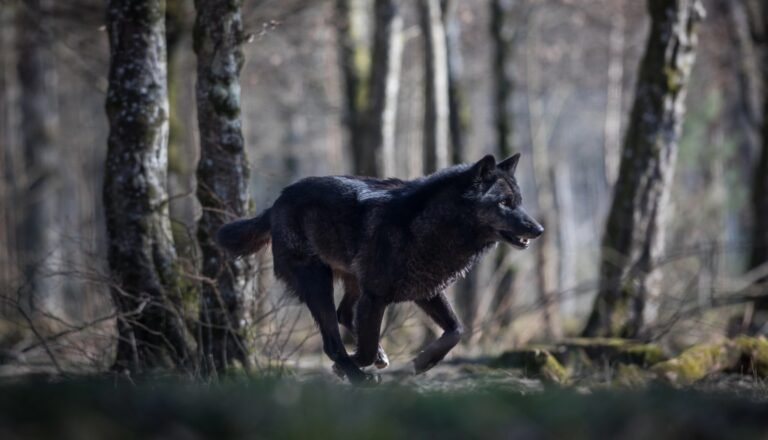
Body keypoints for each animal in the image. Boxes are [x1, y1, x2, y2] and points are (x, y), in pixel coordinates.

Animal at [217, 153, 543, 383]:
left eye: (519, 201)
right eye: (504, 203)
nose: (539, 229)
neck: (437, 226)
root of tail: (277, 203)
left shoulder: (425, 290)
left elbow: (457, 330)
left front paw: (423, 362)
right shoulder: (377, 296)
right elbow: (364, 345)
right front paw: (357, 363)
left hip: (353, 281)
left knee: (343, 315)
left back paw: (374, 359)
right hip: (319, 283)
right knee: (332, 341)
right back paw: (358, 376)